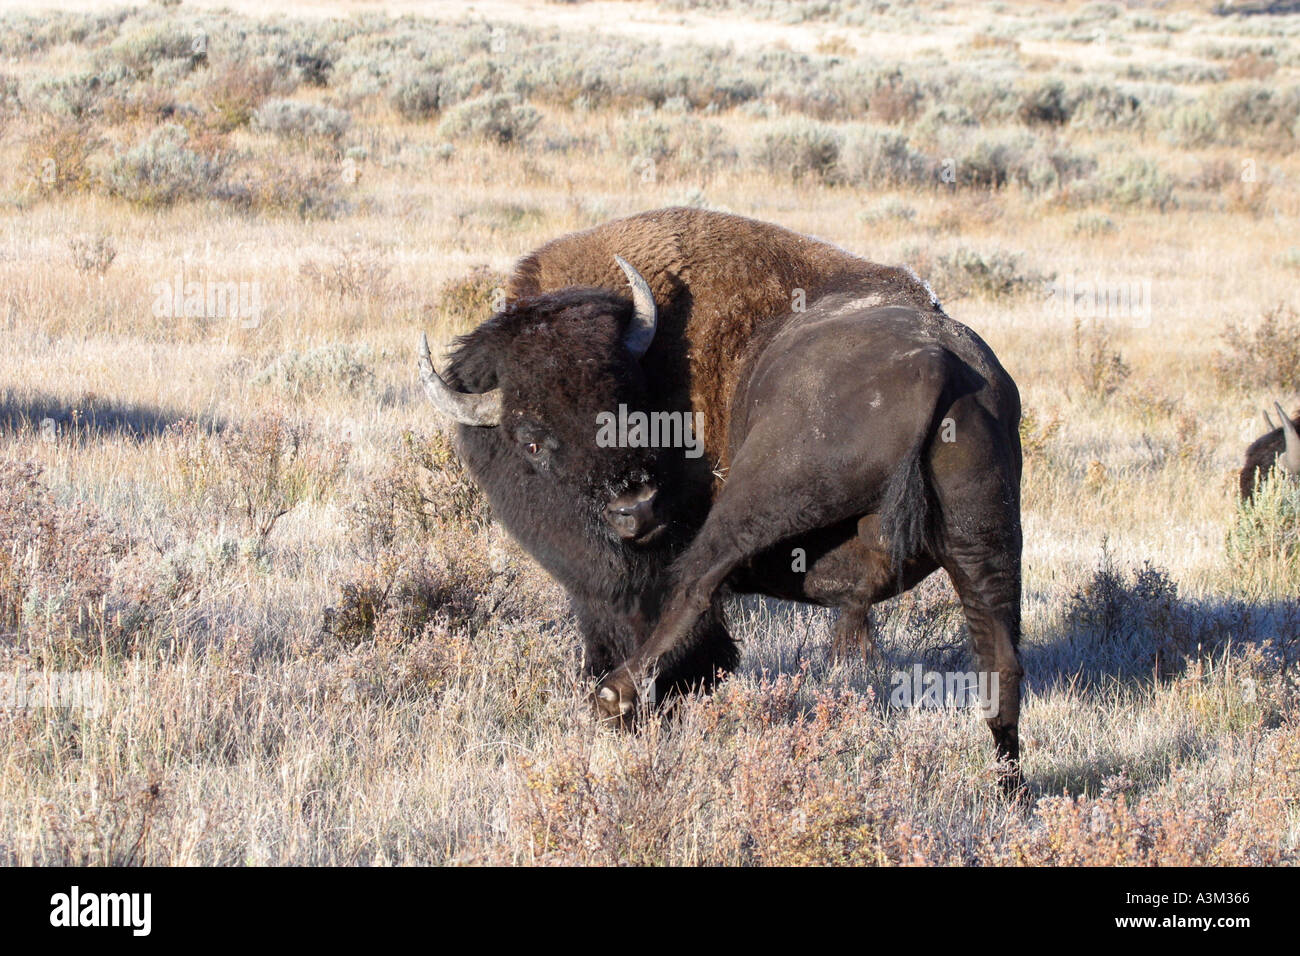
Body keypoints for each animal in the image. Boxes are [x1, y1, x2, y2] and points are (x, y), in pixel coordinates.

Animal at [417, 207, 1026, 789]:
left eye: (629, 405)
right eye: (532, 440)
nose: (634, 508)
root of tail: (935, 361)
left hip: (767, 492)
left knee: (698, 581)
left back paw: (614, 698)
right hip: (986, 539)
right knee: (1001, 666)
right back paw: (1011, 791)